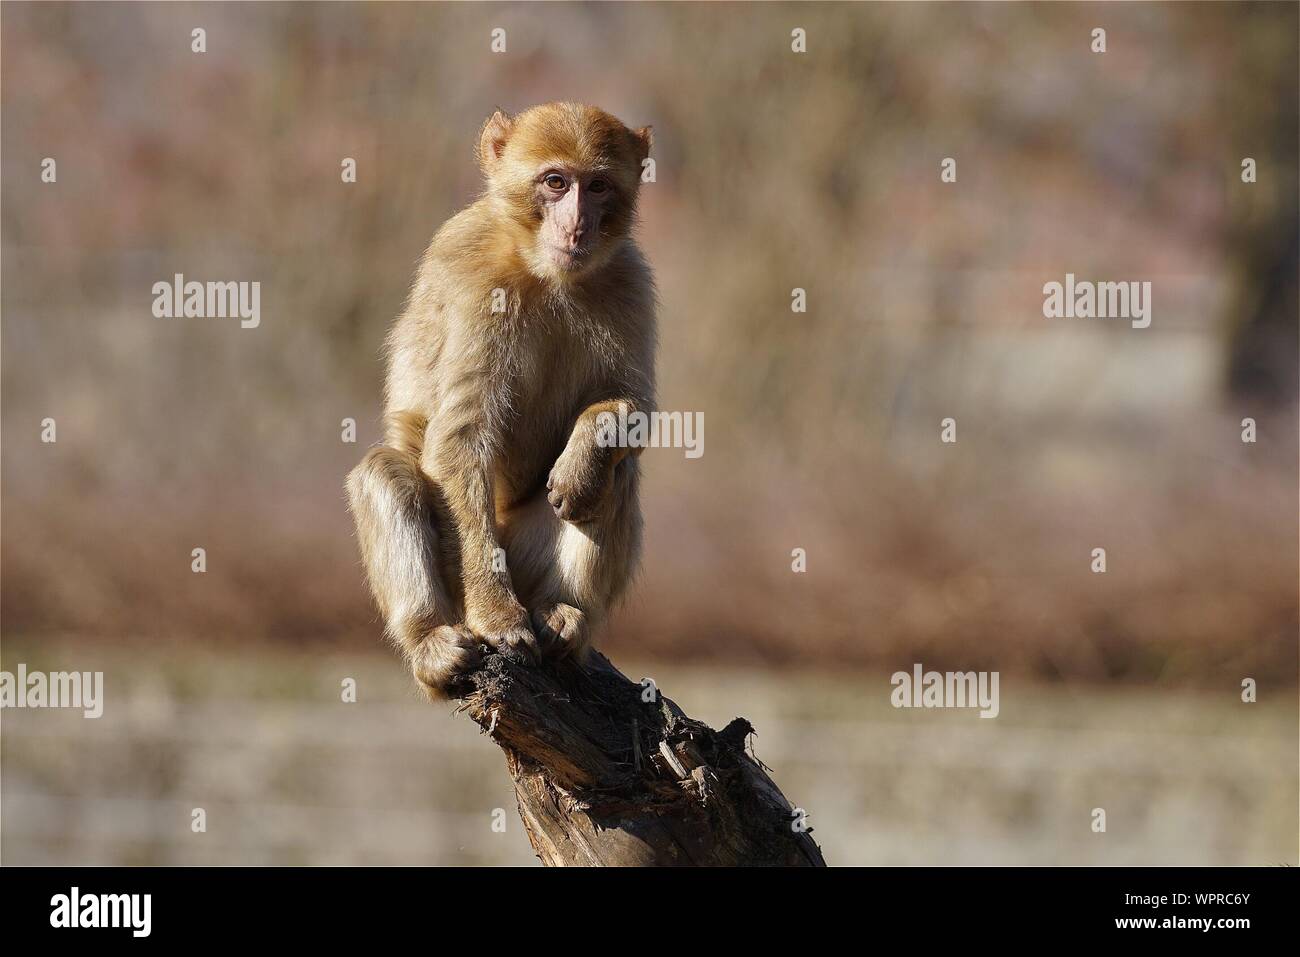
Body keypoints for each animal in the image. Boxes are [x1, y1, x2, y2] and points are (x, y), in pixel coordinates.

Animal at [346, 103, 656, 698]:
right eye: (555, 182)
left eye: (598, 186)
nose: (576, 225)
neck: (542, 267)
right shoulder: (474, 280)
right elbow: (459, 441)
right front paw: (497, 616)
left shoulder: (630, 281)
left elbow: (637, 409)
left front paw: (584, 459)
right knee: (385, 472)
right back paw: (431, 642)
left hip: (529, 554)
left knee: (617, 474)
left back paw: (565, 612)